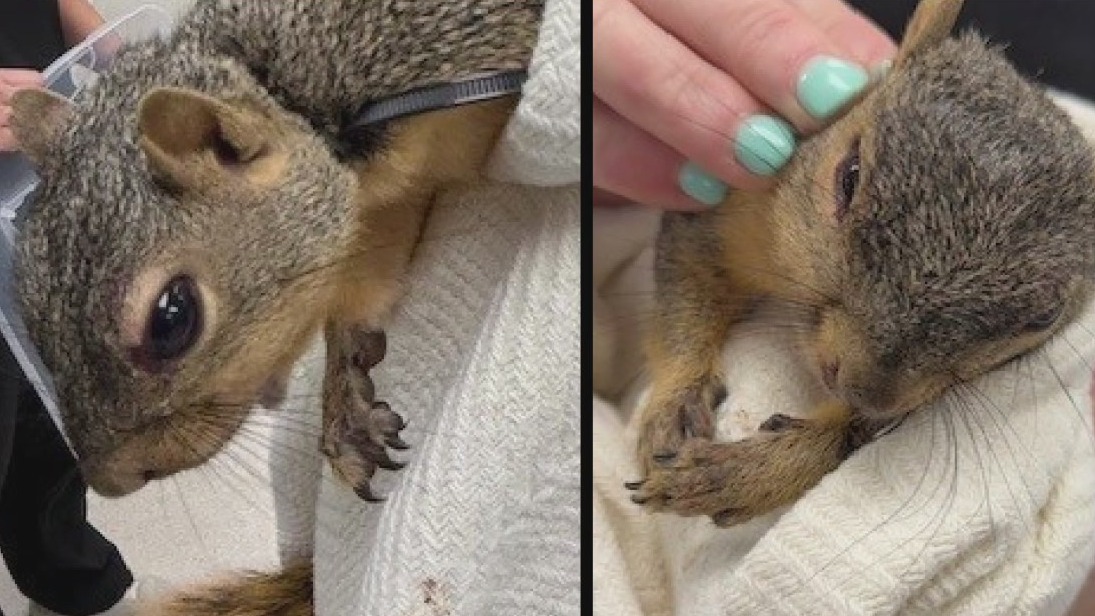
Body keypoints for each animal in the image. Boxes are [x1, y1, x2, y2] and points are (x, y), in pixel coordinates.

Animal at [8, 0, 543, 613]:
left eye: (173, 318)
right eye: (28, 307)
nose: (109, 482)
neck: (289, 94)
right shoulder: (372, 207)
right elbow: (366, 281)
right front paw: (344, 400)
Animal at [627, 0, 1095, 528]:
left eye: (1045, 317)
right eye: (849, 177)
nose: (856, 383)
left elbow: (853, 439)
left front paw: (752, 473)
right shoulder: (725, 212)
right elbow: (684, 297)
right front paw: (674, 408)